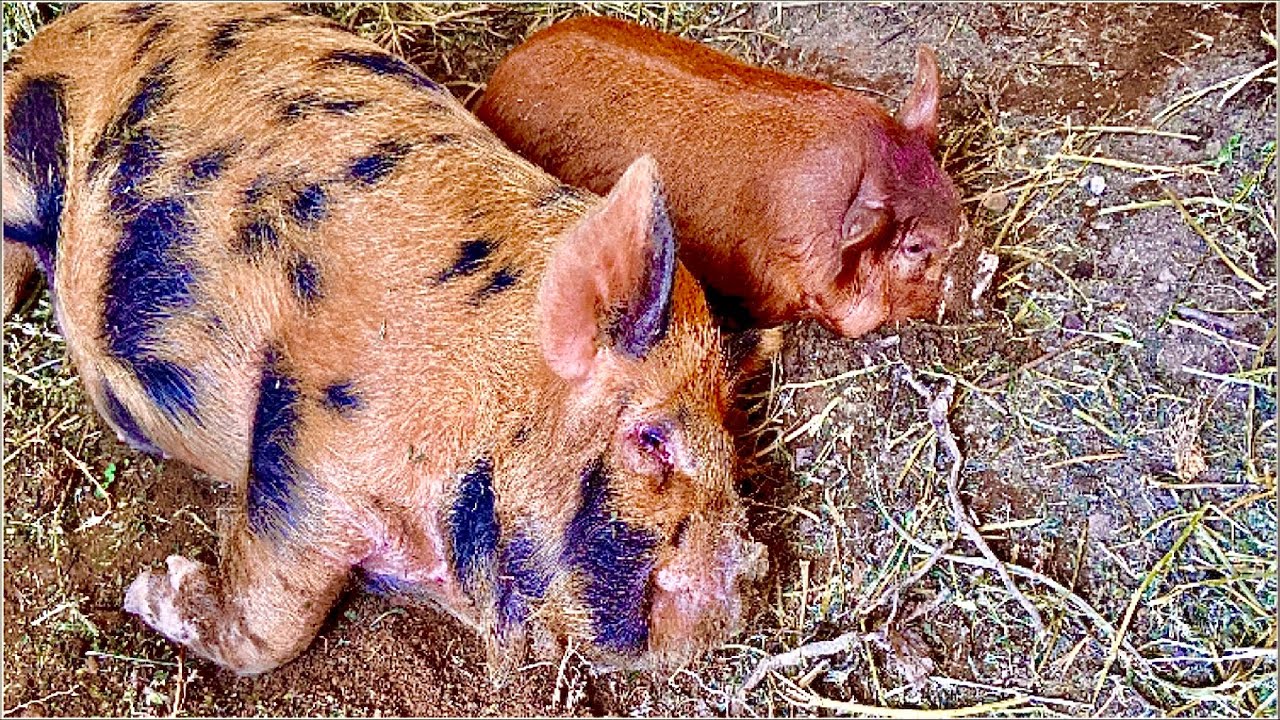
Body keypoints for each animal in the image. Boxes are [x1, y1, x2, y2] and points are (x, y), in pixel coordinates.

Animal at [2, 3, 778, 678]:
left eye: (733, 457)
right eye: (652, 440)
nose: (746, 568)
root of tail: (56, 32)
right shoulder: (309, 440)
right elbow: (276, 620)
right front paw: (152, 588)